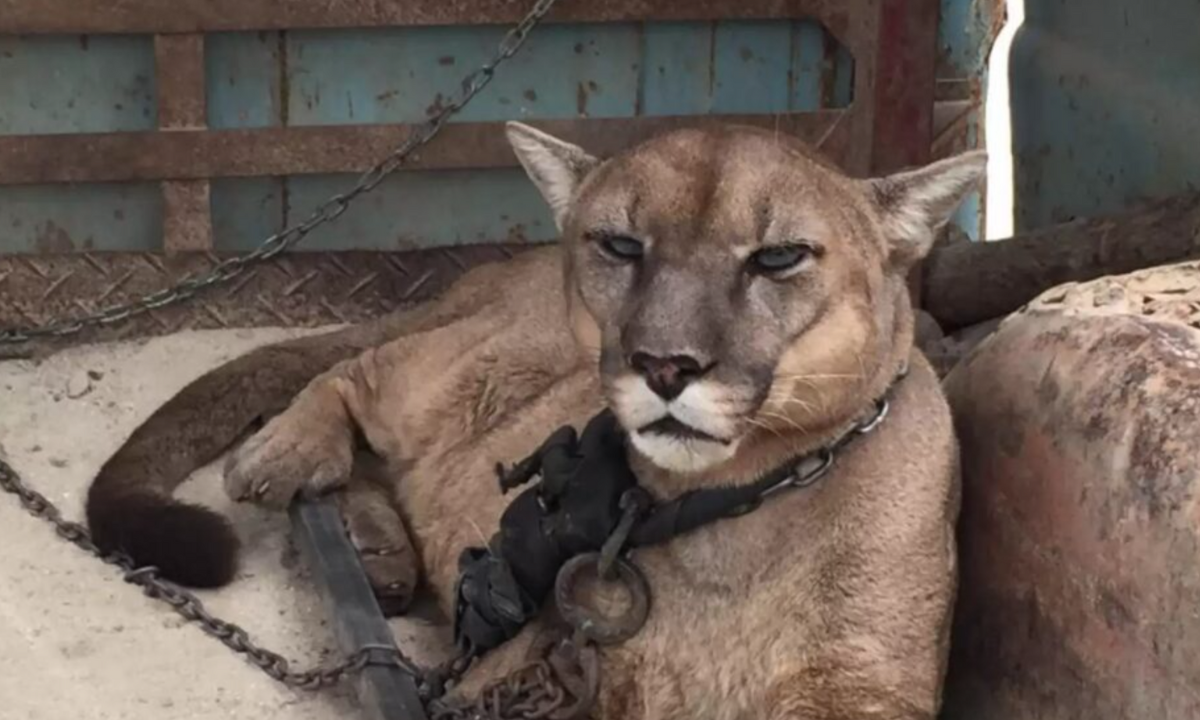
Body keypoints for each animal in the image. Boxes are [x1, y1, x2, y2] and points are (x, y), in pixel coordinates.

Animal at [86, 122, 985, 719]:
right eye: (621, 244)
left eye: (778, 257)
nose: (665, 363)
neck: (731, 517)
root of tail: (496, 271)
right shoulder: (543, 662)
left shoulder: (860, 686)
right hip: (471, 371)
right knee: (357, 373)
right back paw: (288, 458)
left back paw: (378, 553)